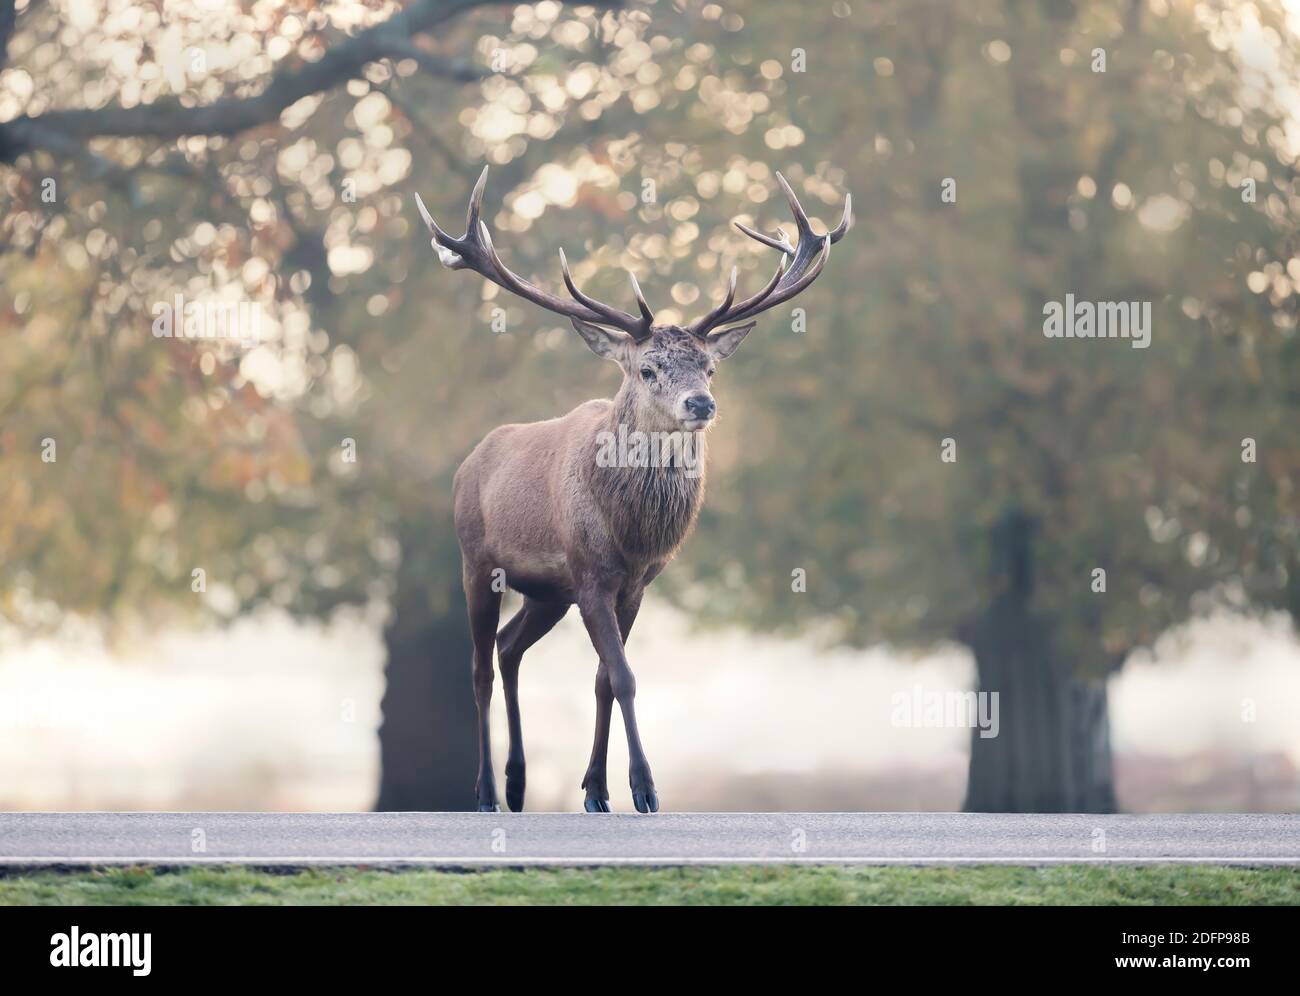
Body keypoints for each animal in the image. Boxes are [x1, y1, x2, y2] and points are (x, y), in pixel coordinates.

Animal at [414, 166, 851, 813]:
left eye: (710, 368)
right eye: (647, 369)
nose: (701, 404)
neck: (632, 534)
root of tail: (468, 462)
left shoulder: (636, 584)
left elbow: (603, 677)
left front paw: (597, 790)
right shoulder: (592, 572)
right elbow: (622, 675)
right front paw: (644, 788)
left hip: (548, 592)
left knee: (510, 647)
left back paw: (518, 782)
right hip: (475, 562)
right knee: (479, 667)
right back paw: (488, 791)